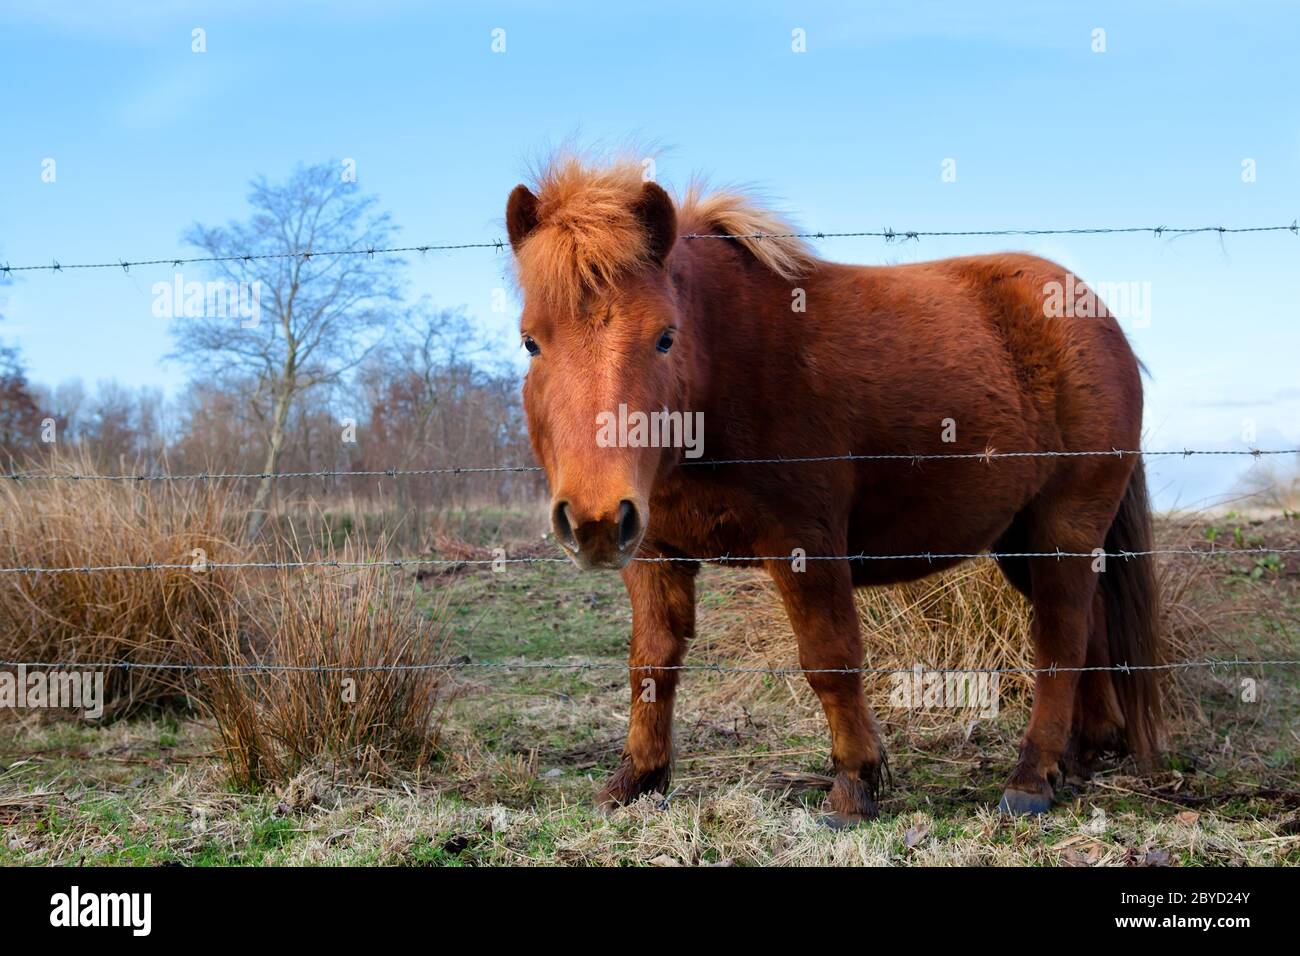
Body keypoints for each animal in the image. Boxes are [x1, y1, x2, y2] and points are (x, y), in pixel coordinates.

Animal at [504, 153, 1162, 823]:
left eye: (665, 337)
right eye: (531, 341)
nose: (594, 520)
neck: (727, 367)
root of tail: (1099, 319)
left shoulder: (806, 544)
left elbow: (830, 659)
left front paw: (855, 783)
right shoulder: (655, 552)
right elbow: (652, 663)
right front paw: (635, 779)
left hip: (1065, 527)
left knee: (1061, 638)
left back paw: (1031, 777)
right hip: (1021, 540)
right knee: (1090, 631)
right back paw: (1080, 755)